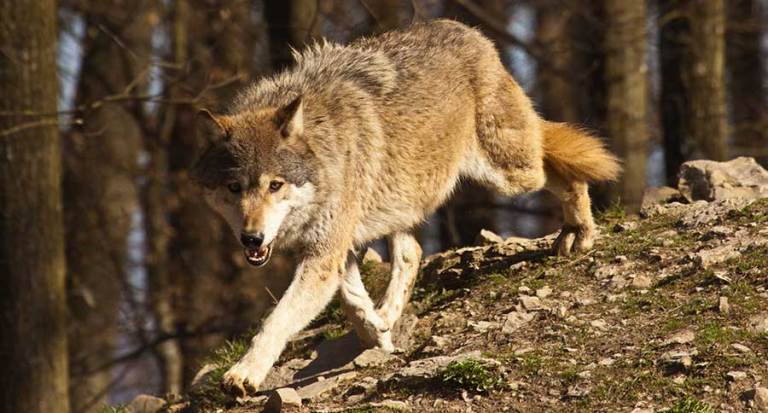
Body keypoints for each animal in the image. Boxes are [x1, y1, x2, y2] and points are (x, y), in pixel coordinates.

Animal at [191, 19, 620, 396]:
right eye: (235, 187)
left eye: (275, 185)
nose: (251, 238)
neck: (324, 147)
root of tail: (466, 30)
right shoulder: (330, 248)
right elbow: (352, 301)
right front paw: (377, 332)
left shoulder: (325, 252)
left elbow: (276, 321)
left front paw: (244, 373)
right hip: (405, 200)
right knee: (412, 252)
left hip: (510, 174)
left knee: (558, 165)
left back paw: (579, 232)